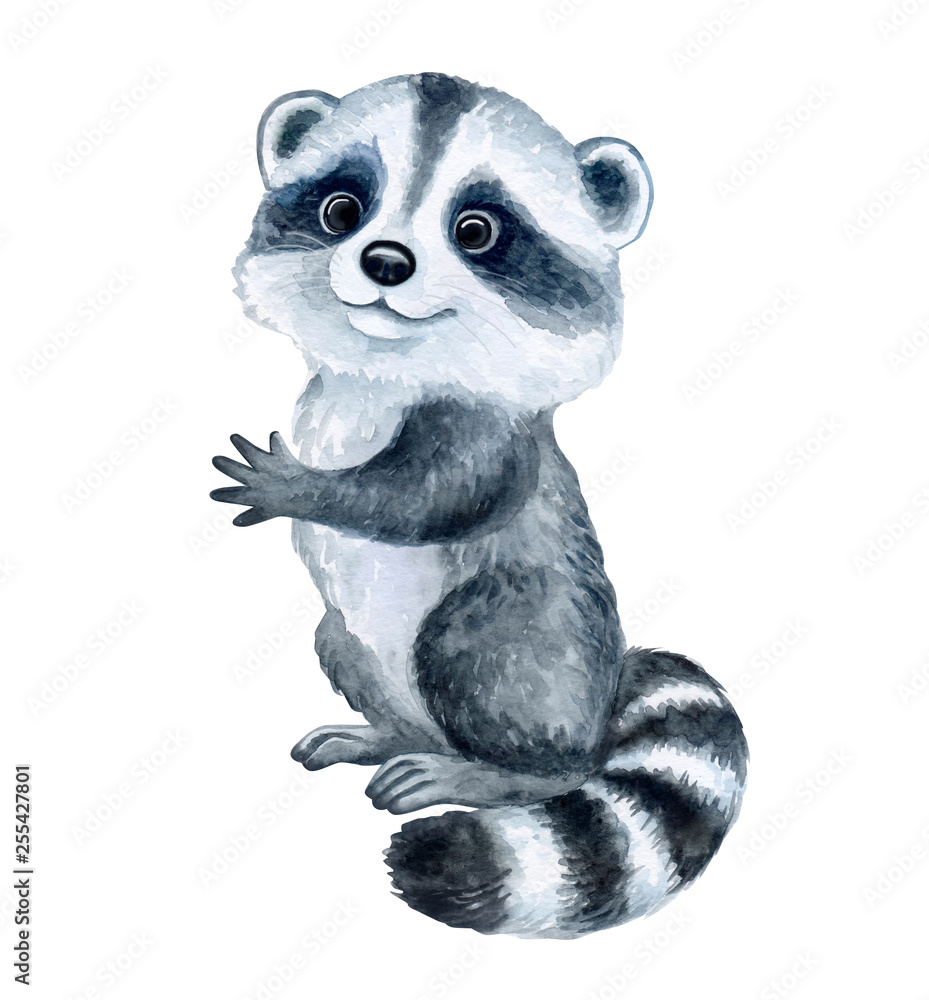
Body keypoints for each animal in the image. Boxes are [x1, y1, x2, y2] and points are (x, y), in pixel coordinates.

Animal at [212, 72, 748, 939]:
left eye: (476, 230)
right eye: (340, 209)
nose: (385, 261)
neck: (383, 369)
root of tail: (603, 702)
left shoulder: (490, 433)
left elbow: (421, 500)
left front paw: (299, 487)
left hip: (534, 640)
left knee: (477, 651)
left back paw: (495, 773)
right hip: (355, 643)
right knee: (340, 641)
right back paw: (389, 733)